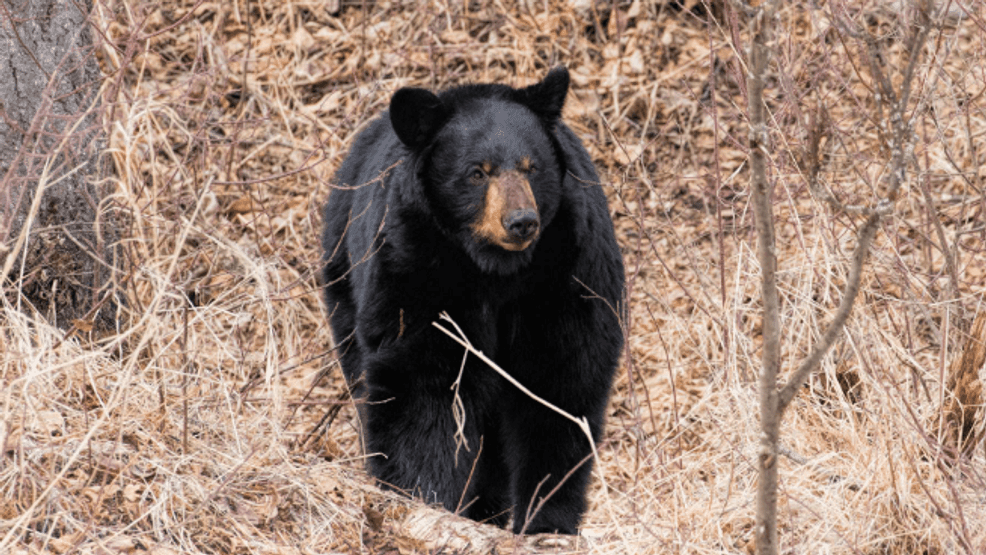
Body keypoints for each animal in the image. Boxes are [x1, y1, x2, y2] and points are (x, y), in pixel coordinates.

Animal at [320, 67, 624, 535]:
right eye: (477, 173)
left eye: (532, 167)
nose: (521, 222)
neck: (497, 269)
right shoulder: (418, 263)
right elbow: (425, 381)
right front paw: (423, 496)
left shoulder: (567, 273)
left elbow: (561, 380)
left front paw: (546, 518)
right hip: (343, 275)